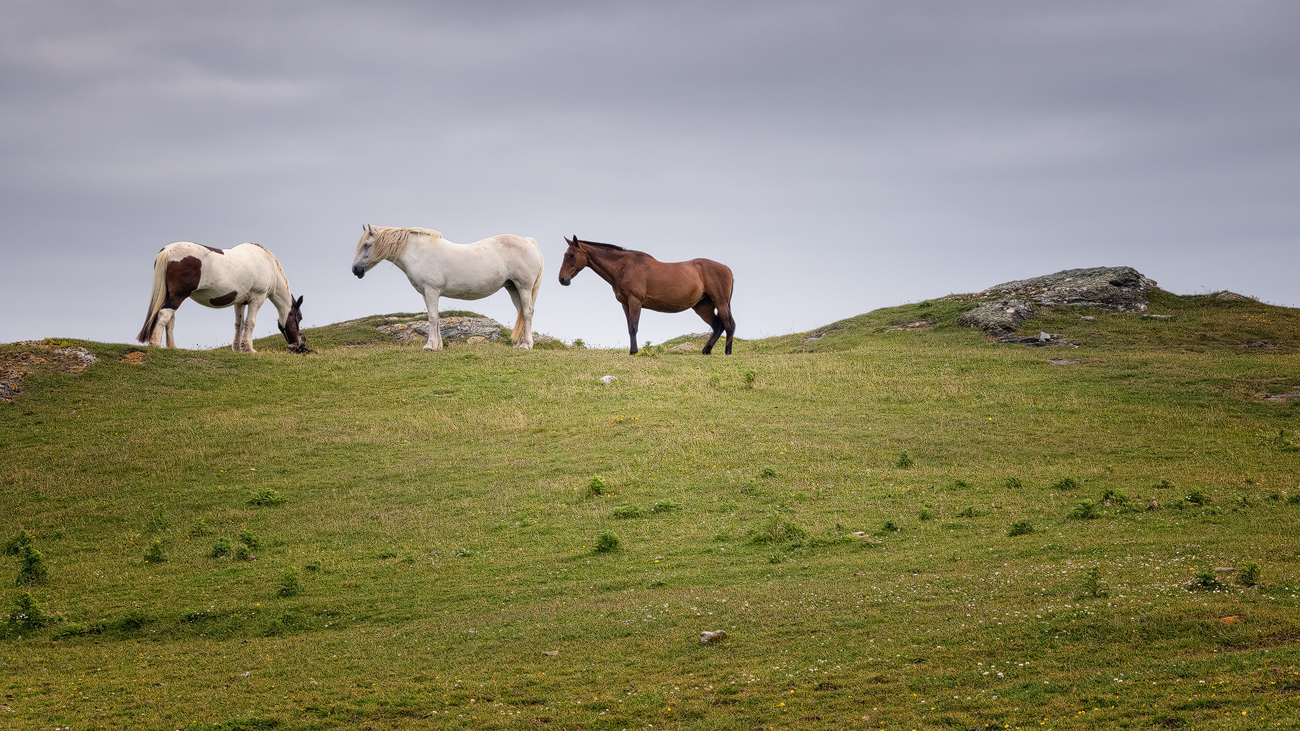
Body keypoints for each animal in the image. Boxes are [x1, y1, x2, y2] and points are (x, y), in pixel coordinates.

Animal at [137, 242, 306, 353]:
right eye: (299, 318)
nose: (298, 344)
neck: (267, 264)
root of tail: (168, 250)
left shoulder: (240, 302)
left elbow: (239, 324)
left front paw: (237, 349)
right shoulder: (257, 298)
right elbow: (250, 323)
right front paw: (249, 348)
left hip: (172, 296)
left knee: (170, 319)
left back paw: (172, 347)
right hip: (178, 296)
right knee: (164, 315)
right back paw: (155, 344)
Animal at [351, 225, 544, 350]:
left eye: (366, 245)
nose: (355, 269)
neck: (419, 253)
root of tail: (529, 242)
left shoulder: (431, 290)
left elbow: (432, 317)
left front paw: (430, 346)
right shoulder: (427, 293)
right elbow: (435, 317)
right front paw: (438, 345)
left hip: (524, 287)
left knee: (527, 313)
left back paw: (526, 345)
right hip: (513, 289)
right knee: (522, 313)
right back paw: (520, 344)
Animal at [557, 236, 735, 355]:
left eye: (572, 255)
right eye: (565, 254)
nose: (562, 279)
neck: (624, 268)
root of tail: (725, 268)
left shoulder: (635, 301)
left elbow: (634, 327)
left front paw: (634, 352)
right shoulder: (625, 304)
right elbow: (629, 327)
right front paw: (632, 351)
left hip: (720, 302)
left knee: (728, 325)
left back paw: (727, 352)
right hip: (703, 307)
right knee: (718, 325)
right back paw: (706, 350)